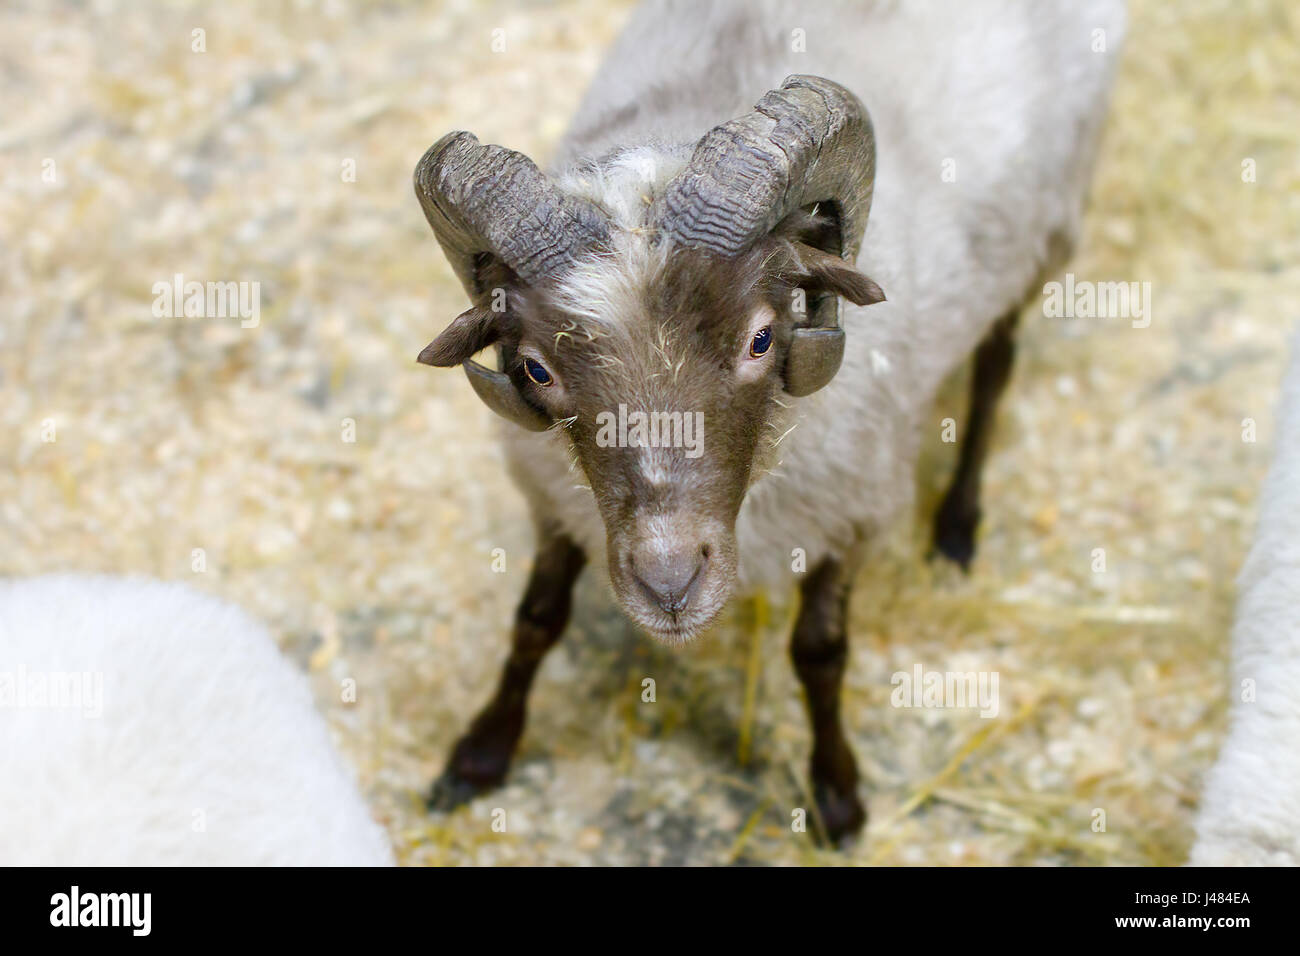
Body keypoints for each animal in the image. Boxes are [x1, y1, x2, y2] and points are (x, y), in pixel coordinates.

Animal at [412, 0, 1126, 843]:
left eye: (760, 339)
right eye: (534, 370)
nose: (669, 584)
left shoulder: (854, 510)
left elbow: (820, 653)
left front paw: (838, 797)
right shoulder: (558, 501)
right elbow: (534, 620)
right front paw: (480, 754)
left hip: (1046, 228)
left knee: (995, 368)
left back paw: (957, 524)